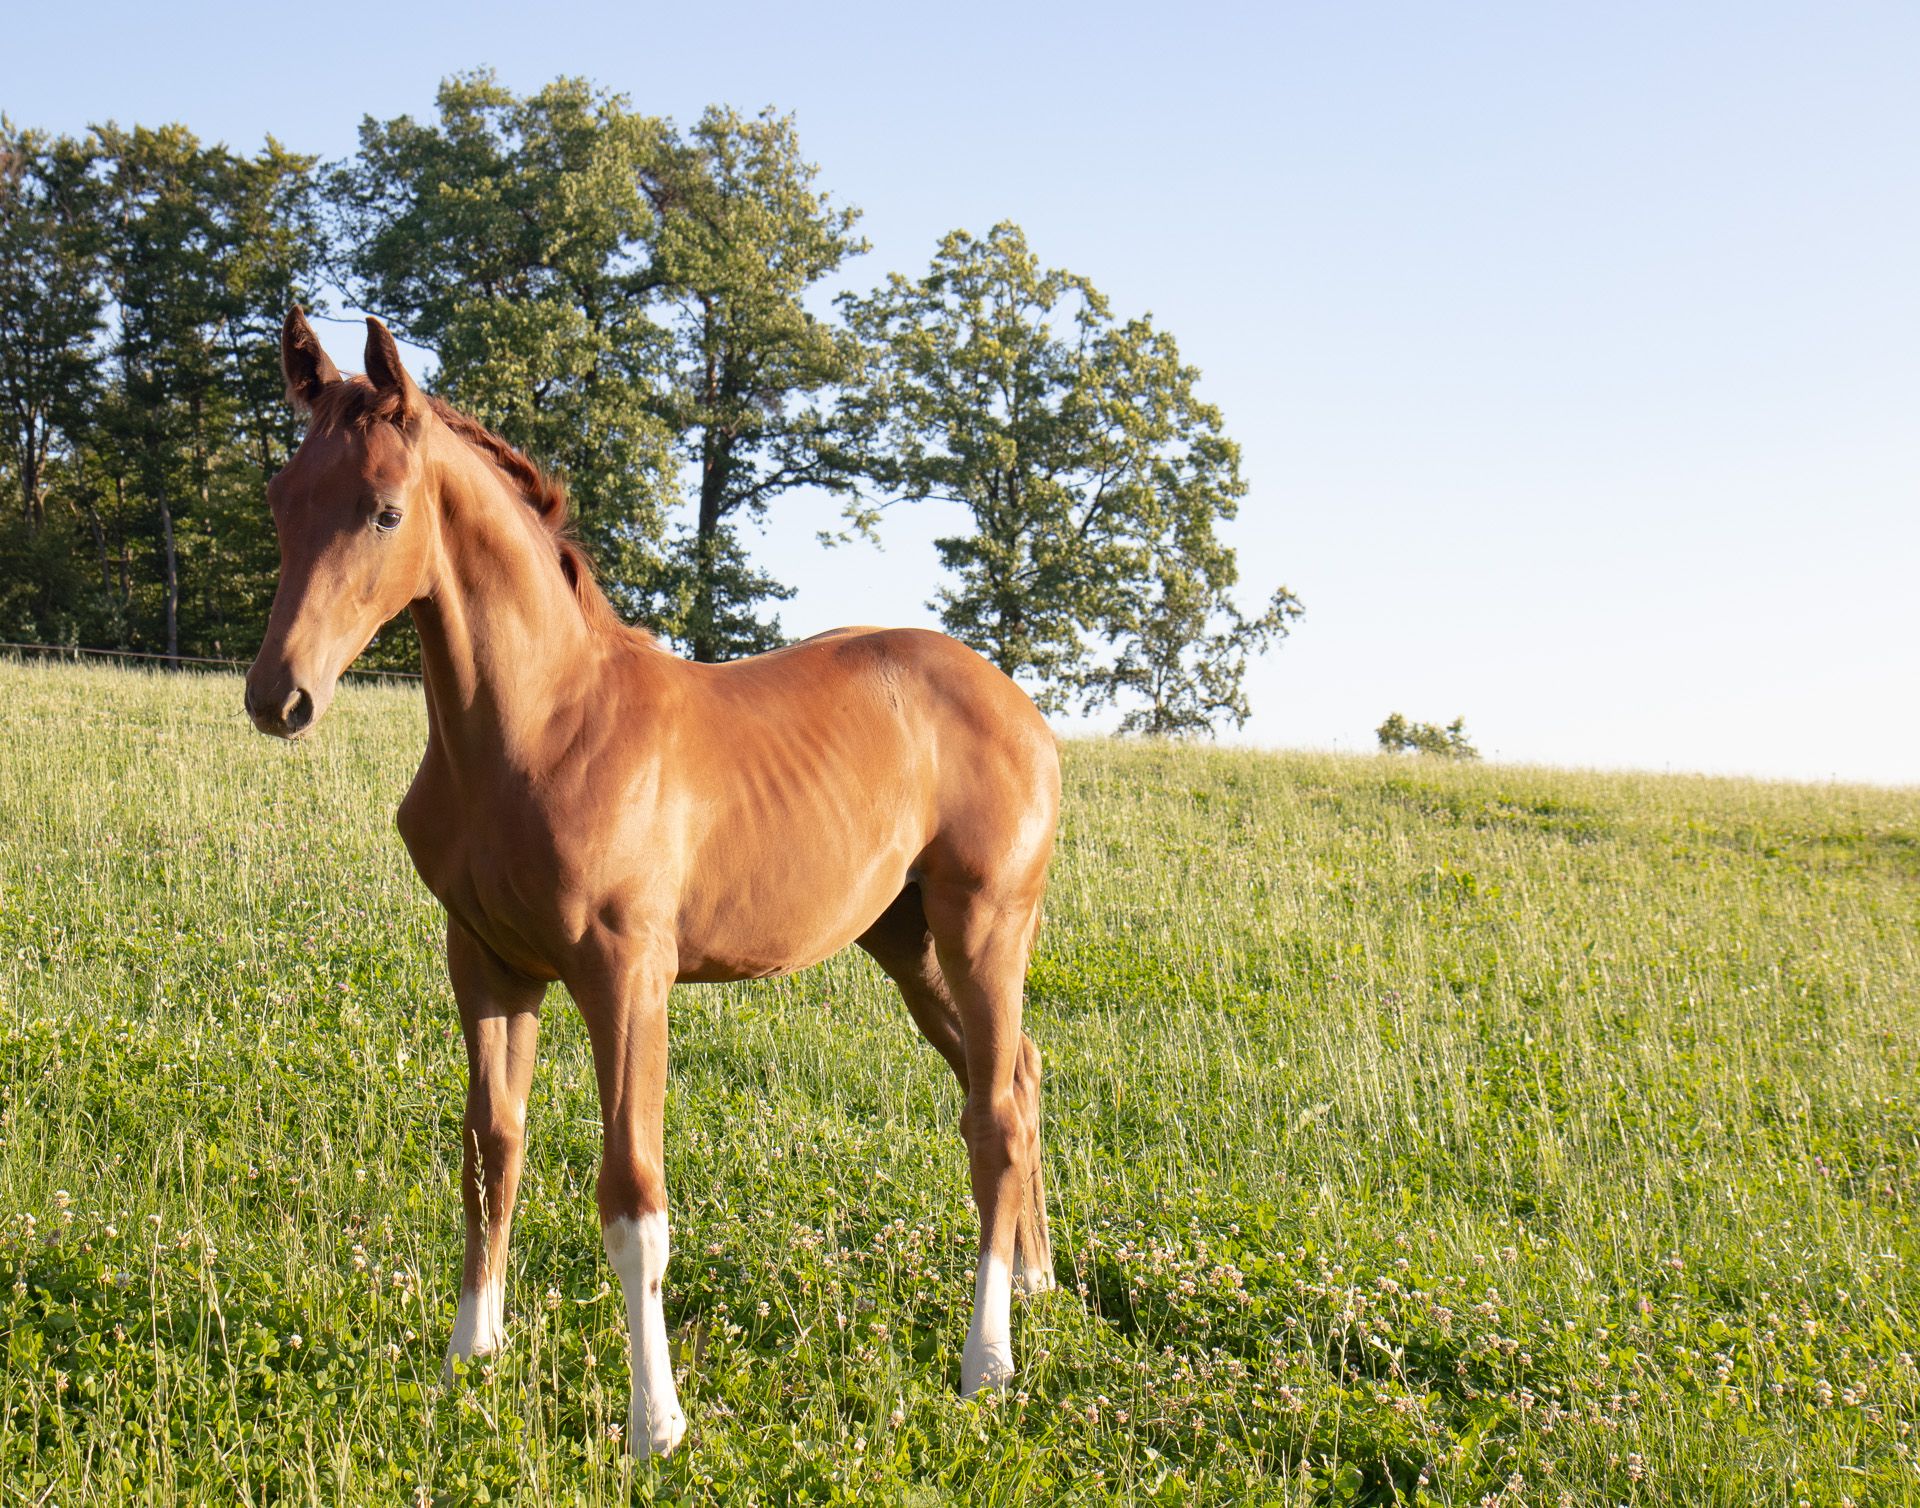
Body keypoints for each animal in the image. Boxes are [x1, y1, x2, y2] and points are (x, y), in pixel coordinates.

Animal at [244, 309, 1060, 1455]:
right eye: (282, 498)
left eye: (384, 510)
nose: (279, 696)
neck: (540, 727)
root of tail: (1019, 705)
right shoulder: (488, 965)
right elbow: (490, 1155)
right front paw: (467, 1364)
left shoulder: (628, 978)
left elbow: (633, 1197)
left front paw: (655, 1424)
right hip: (907, 945)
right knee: (1017, 1080)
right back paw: (1034, 1286)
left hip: (983, 926)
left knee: (992, 1116)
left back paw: (987, 1361)